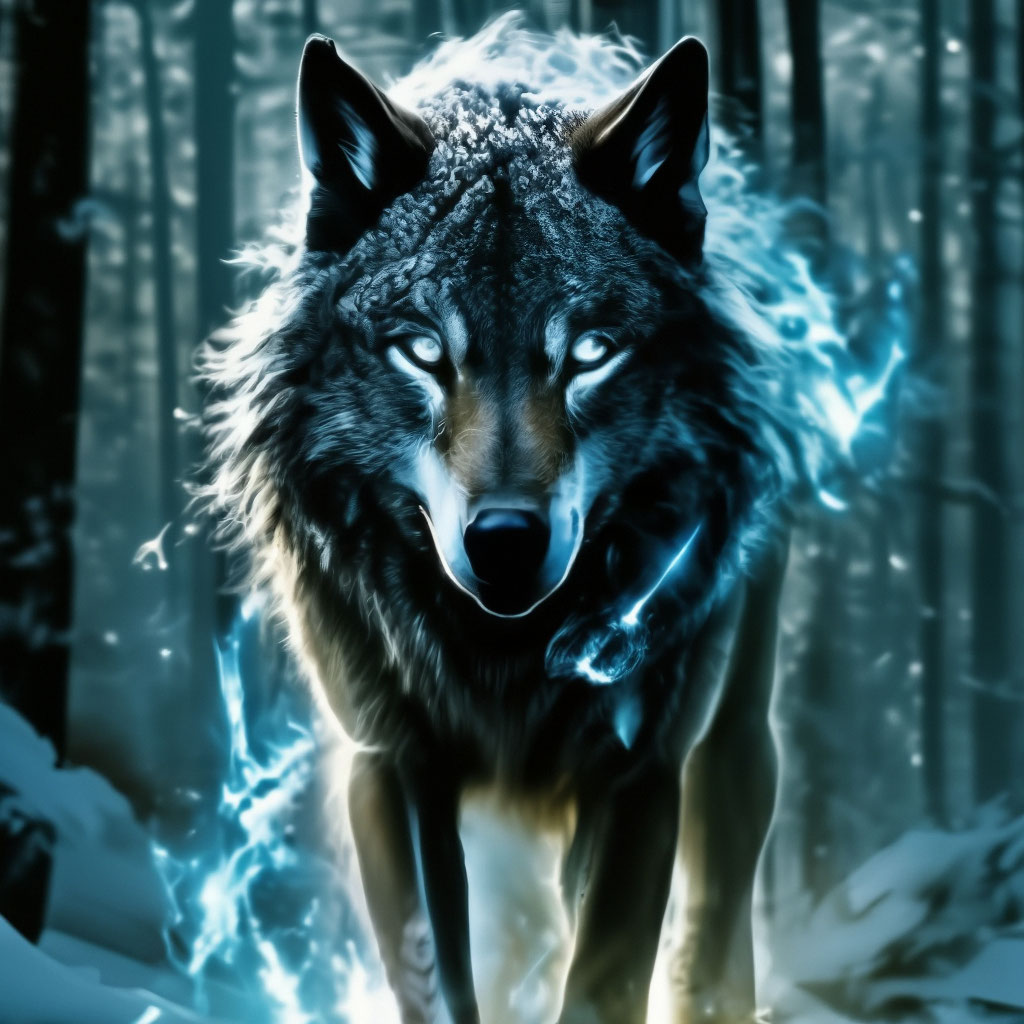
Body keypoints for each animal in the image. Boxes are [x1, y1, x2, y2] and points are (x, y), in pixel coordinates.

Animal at [202, 17, 867, 1024]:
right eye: (423, 351)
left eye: (589, 353)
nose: (506, 541)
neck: (506, 657)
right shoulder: (390, 763)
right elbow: (435, 977)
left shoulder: (638, 769)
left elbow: (604, 977)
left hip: (732, 736)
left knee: (715, 911)